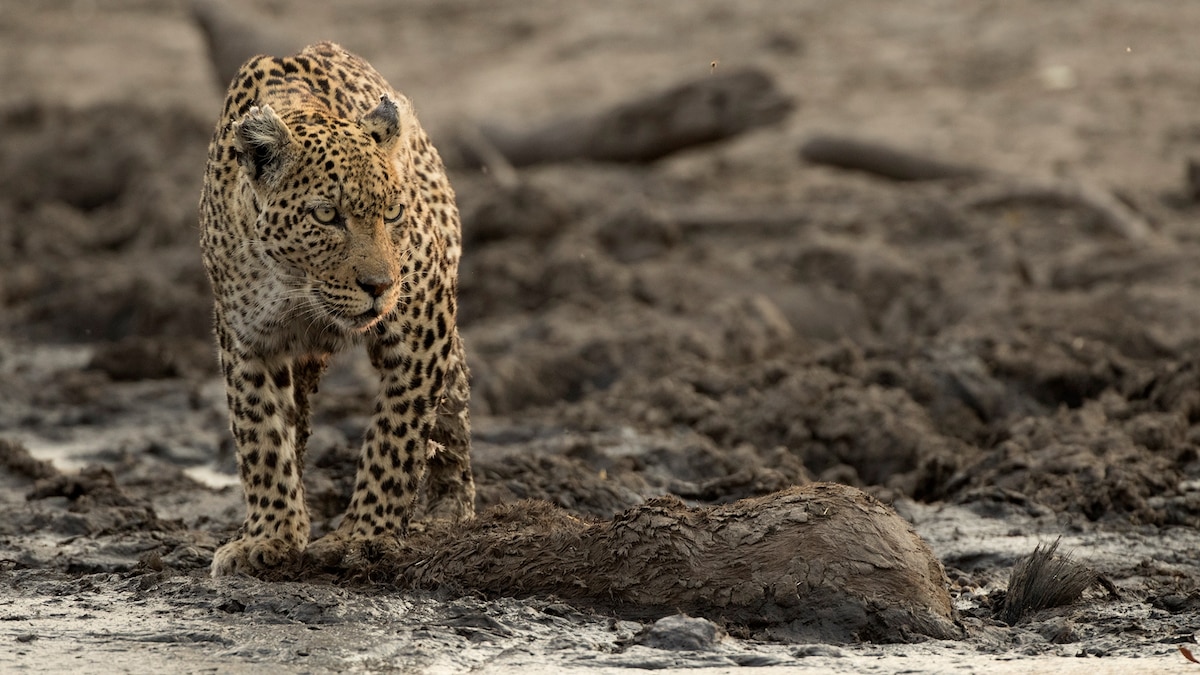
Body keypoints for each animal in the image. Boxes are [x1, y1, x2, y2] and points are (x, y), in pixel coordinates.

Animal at [198, 41, 474, 577]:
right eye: (327, 215)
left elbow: (397, 434)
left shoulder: (422, 320)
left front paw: (363, 536)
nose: (380, 286)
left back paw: (450, 510)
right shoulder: (246, 339)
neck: (295, 285)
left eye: (393, 213)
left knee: (451, 413)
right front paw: (270, 534)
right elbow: (261, 435)